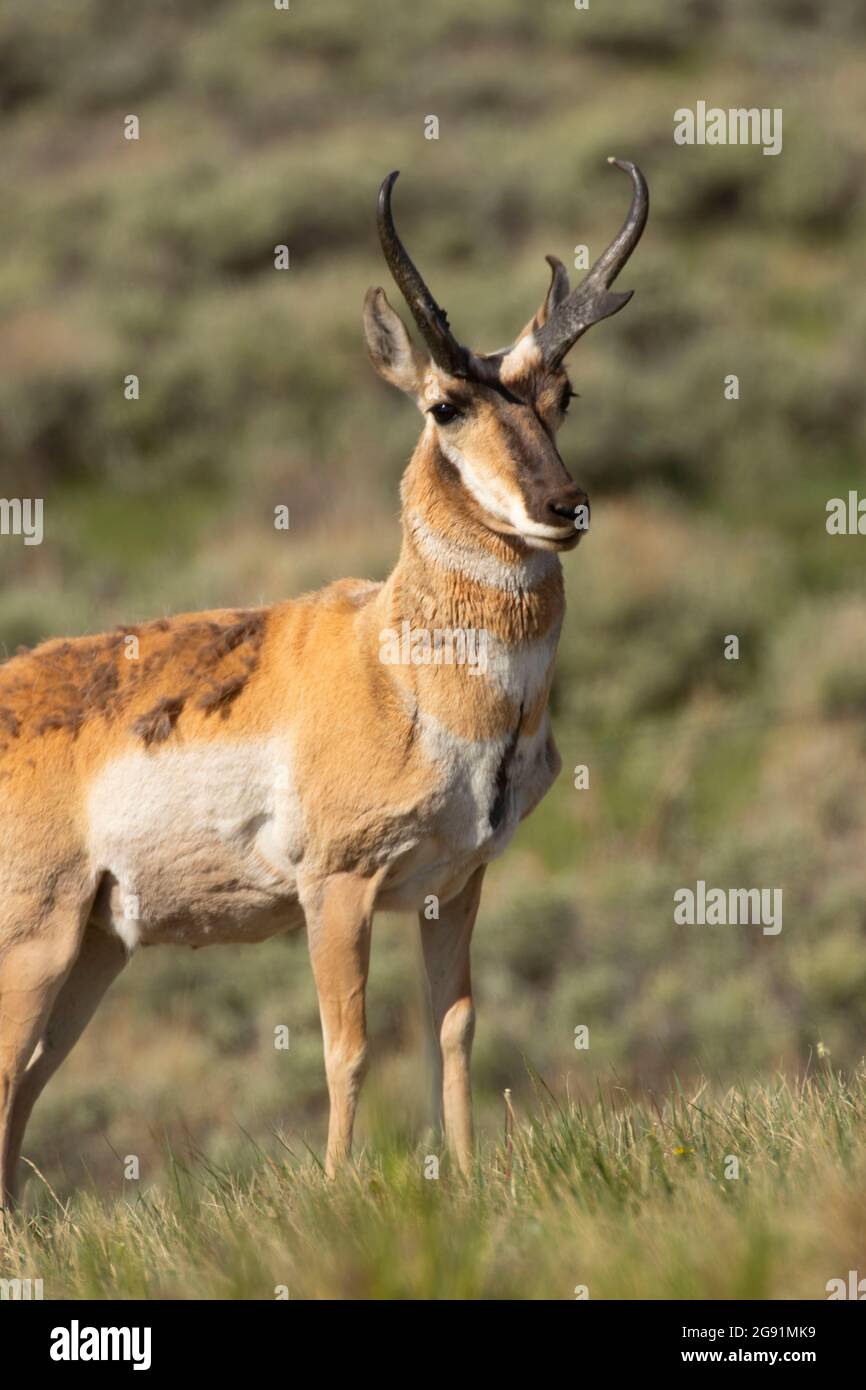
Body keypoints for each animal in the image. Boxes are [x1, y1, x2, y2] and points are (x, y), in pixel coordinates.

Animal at [0, 158, 647, 1203]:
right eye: (444, 405)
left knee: (22, 1087)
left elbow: (453, 1034)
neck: (397, 665)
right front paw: (343, 1192)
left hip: (91, 951)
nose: (564, 506)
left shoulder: (454, 887)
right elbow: (348, 1049)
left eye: (565, 392)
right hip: (36, 943)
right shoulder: (335, 891)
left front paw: (468, 1181)